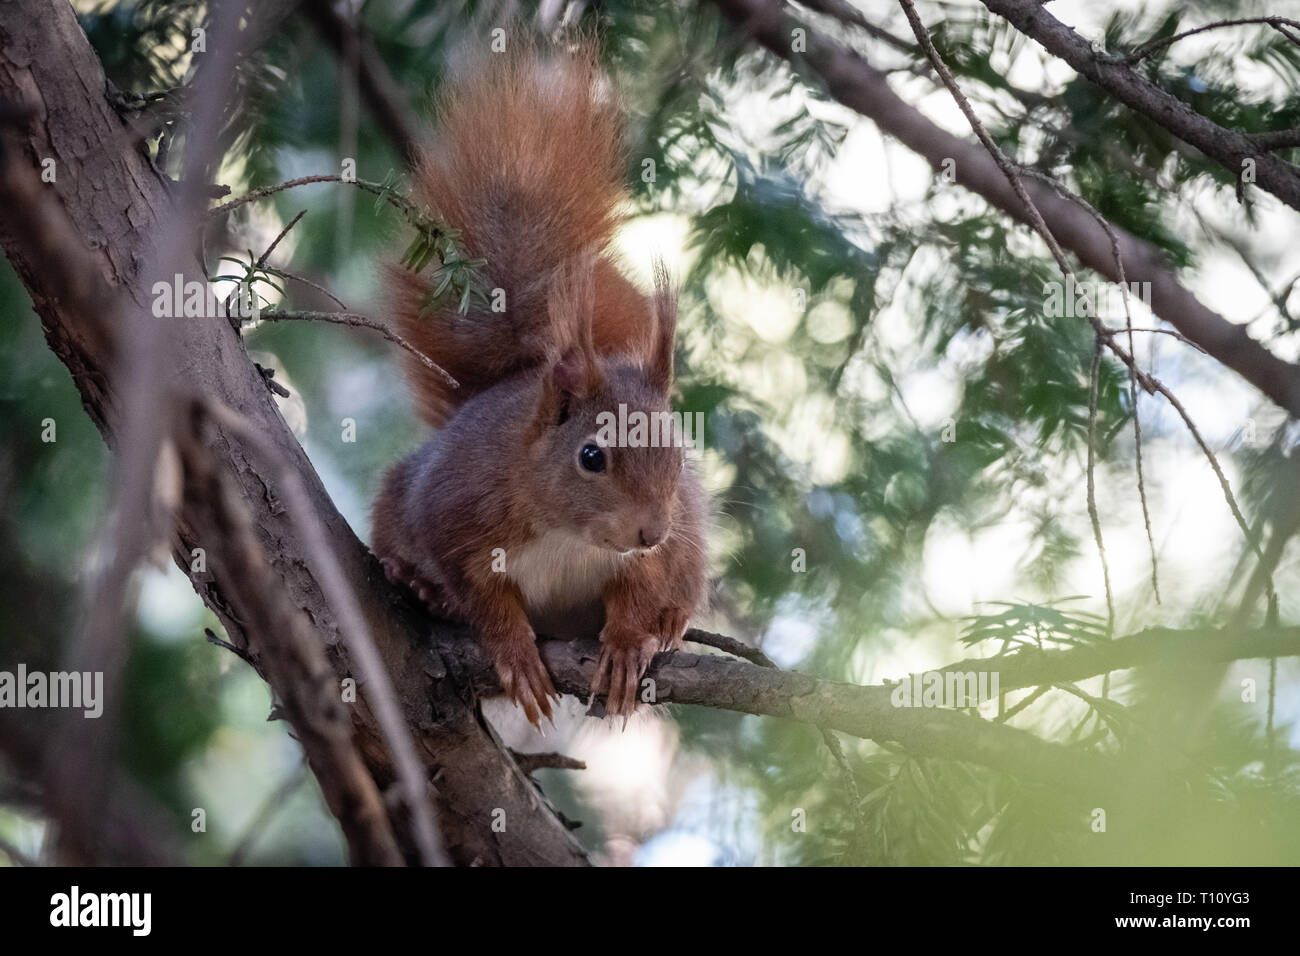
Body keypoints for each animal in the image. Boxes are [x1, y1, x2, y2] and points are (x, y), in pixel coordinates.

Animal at [366, 37, 712, 723]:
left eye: (680, 454)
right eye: (591, 456)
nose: (652, 530)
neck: (568, 533)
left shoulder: (650, 554)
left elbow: (639, 589)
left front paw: (630, 641)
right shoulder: (455, 514)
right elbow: (481, 596)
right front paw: (513, 652)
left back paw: (670, 623)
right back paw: (414, 582)